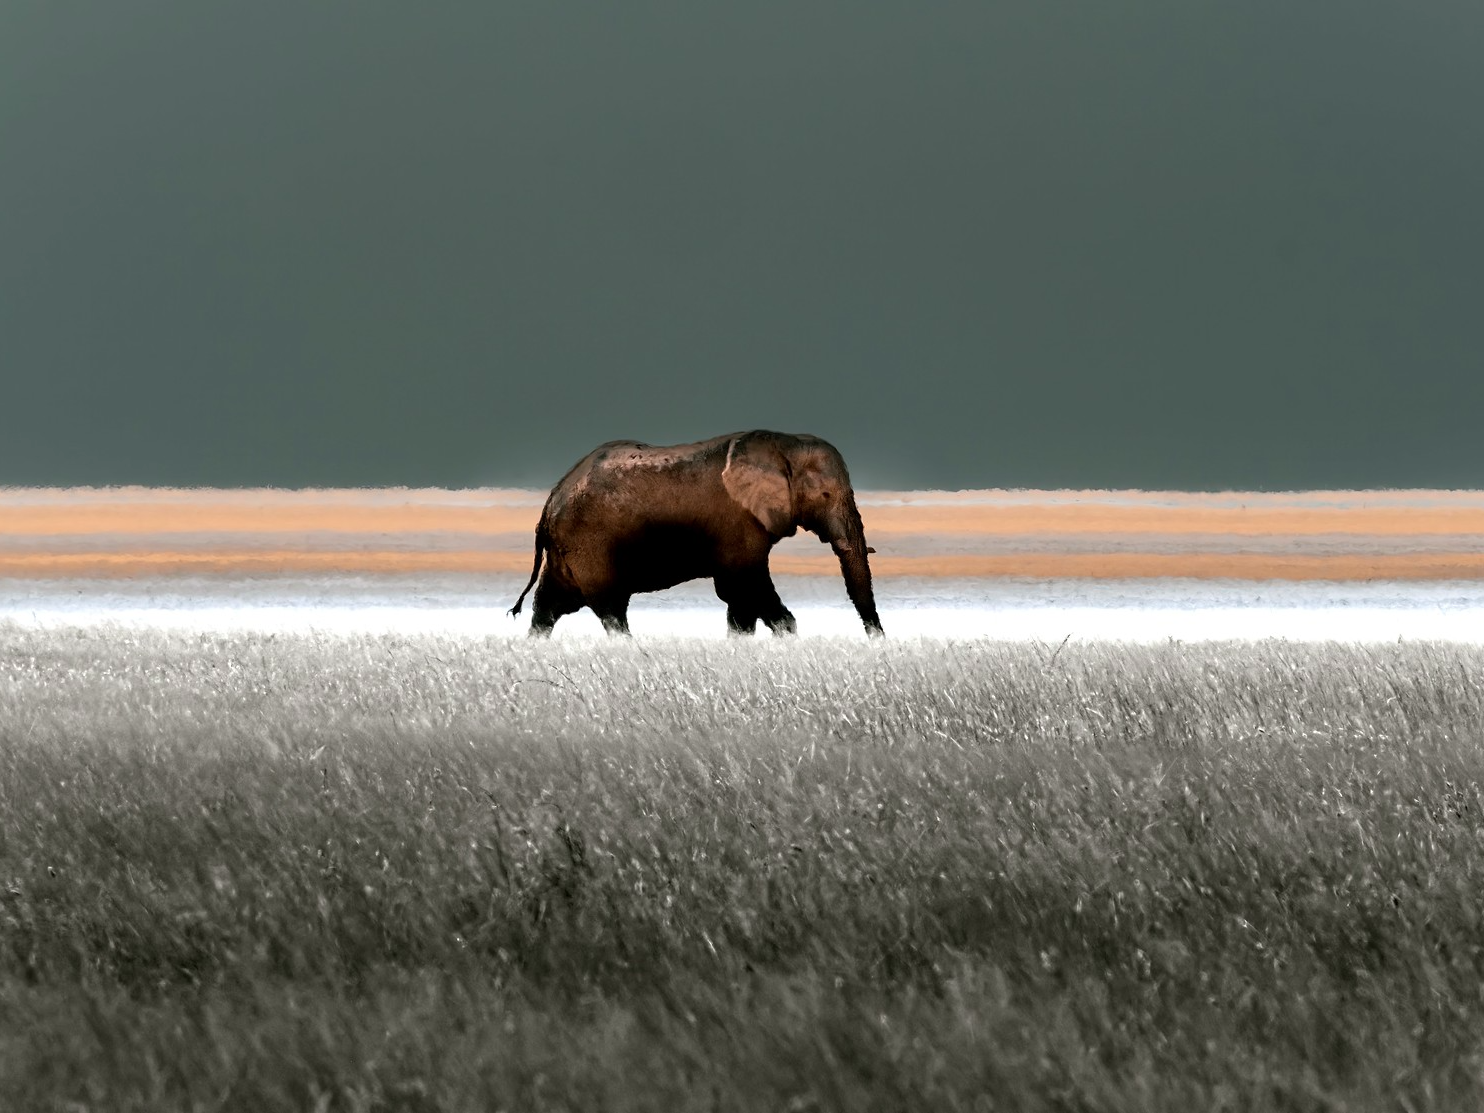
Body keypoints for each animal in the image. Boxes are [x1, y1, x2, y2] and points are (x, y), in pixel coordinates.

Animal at [509, 431, 884, 637]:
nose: (878, 640)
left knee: (549, 606)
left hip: (567, 550)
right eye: (826, 495)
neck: (785, 444)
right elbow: (746, 587)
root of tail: (549, 502)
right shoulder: (739, 523)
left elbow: (740, 602)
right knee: (610, 609)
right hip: (588, 543)